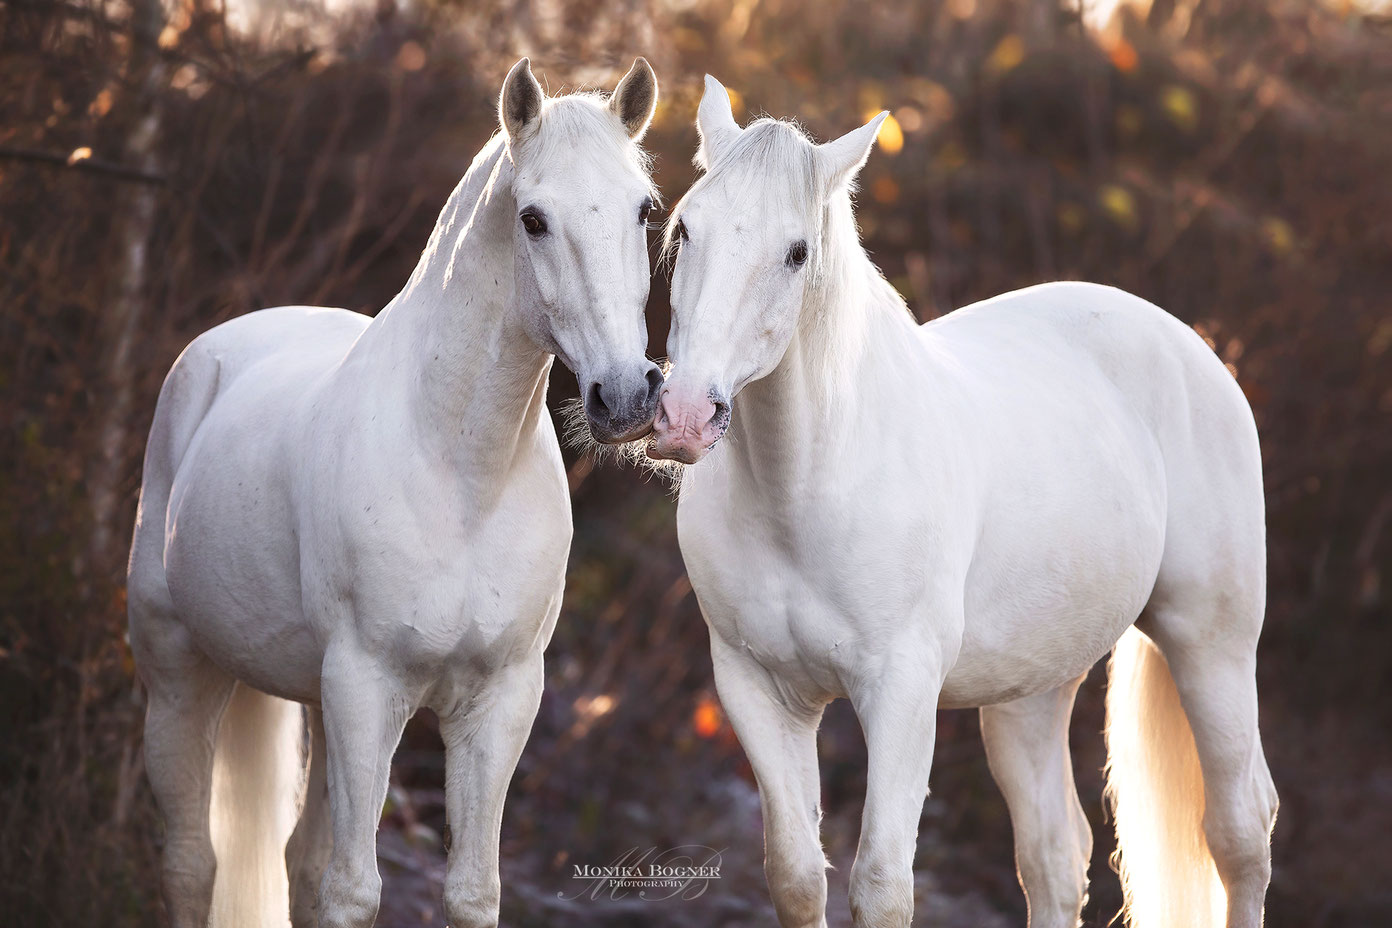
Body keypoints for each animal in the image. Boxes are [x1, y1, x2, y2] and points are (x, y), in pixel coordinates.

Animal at [127, 57, 663, 928]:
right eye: (534, 219)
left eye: (644, 210)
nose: (626, 396)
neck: (462, 477)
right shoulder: (366, 686)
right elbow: (353, 890)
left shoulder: (500, 700)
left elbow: (469, 890)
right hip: (180, 675)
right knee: (190, 865)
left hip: (310, 698)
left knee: (295, 864)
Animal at [648, 75, 1278, 928]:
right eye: (686, 228)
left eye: (797, 251)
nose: (684, 415)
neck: (804, 488)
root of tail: (1193, 347)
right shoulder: (758, 691)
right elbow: (797, 876)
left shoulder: (900, 693)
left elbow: (882, 884)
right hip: (1034, 688)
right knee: (1054, 857)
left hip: (1210, 642)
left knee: (1239, 830)